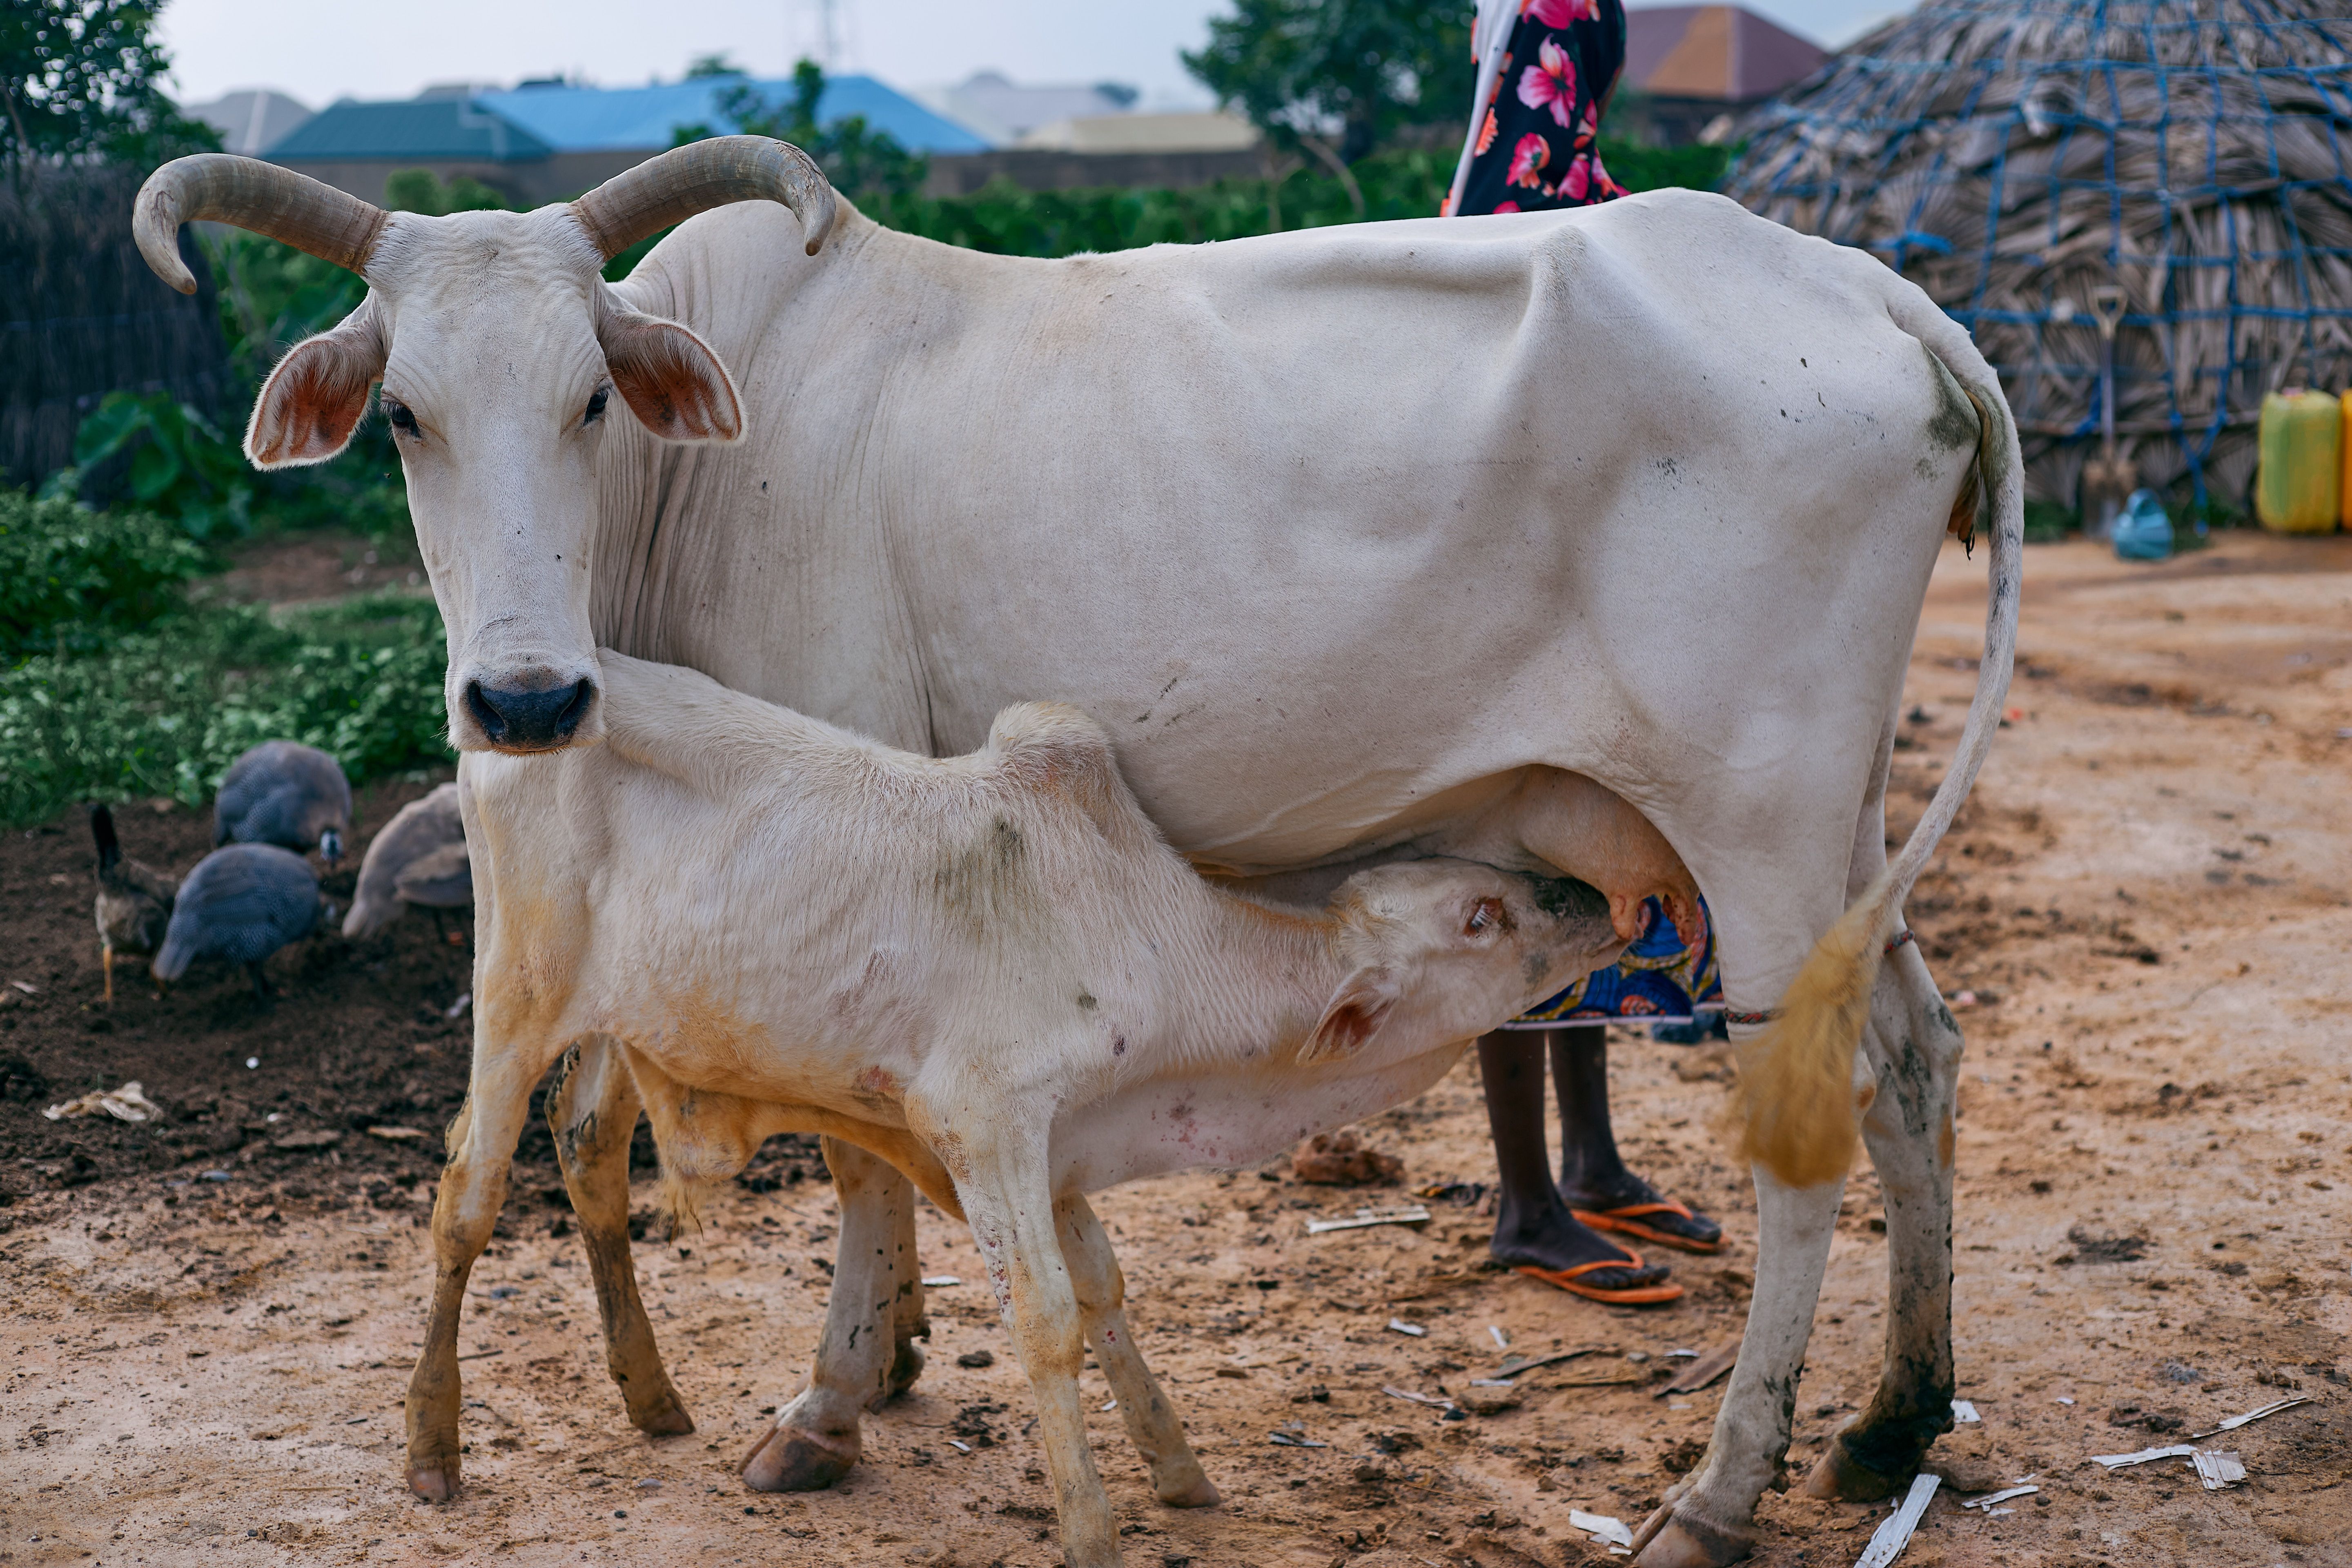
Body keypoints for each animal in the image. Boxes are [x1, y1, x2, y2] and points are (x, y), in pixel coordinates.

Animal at [420, 648, 1624, 1563]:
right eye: (1481, 916)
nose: (1590, 897)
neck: (1160, 950)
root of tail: (518, 712)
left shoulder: (1056, 1148)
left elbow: (1103, 1287)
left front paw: (1176, 1466)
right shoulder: (985, 1120)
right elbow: (1047, 1318)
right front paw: (1091, 1527)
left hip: (626, 1028)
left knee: (587, 1146)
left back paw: (652, 1396)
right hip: (515, 997)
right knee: (466, 1195)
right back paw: (430, 1445)